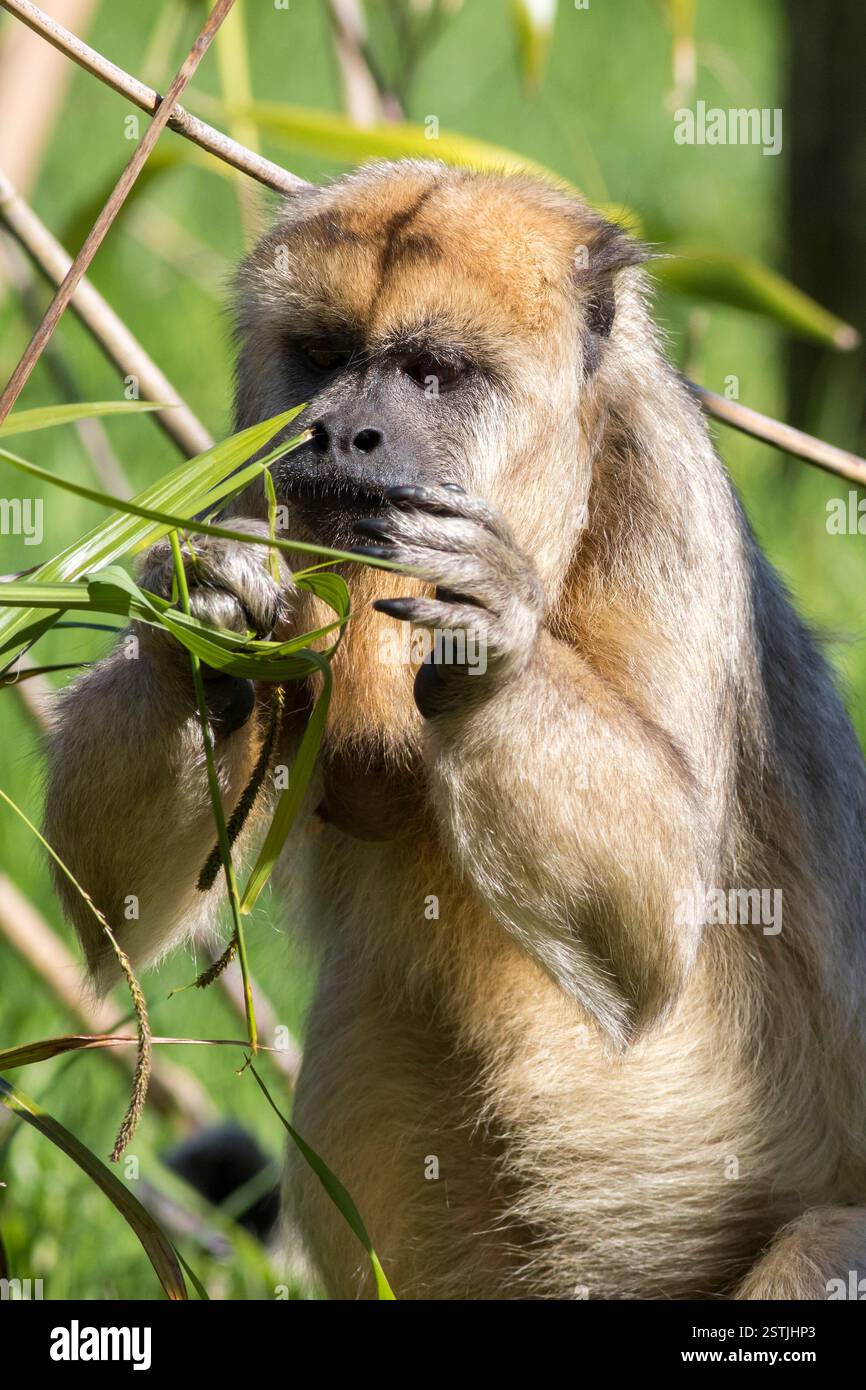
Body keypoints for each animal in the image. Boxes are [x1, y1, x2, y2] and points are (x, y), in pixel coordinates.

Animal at [44, 159, 866, 1300]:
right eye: (325, 357)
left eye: (432, 373)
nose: (341, 429)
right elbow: (114, 904)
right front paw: (195, 623)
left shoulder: (666, 507)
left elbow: (656, 933)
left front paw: (491, 643)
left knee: (826, 1241)